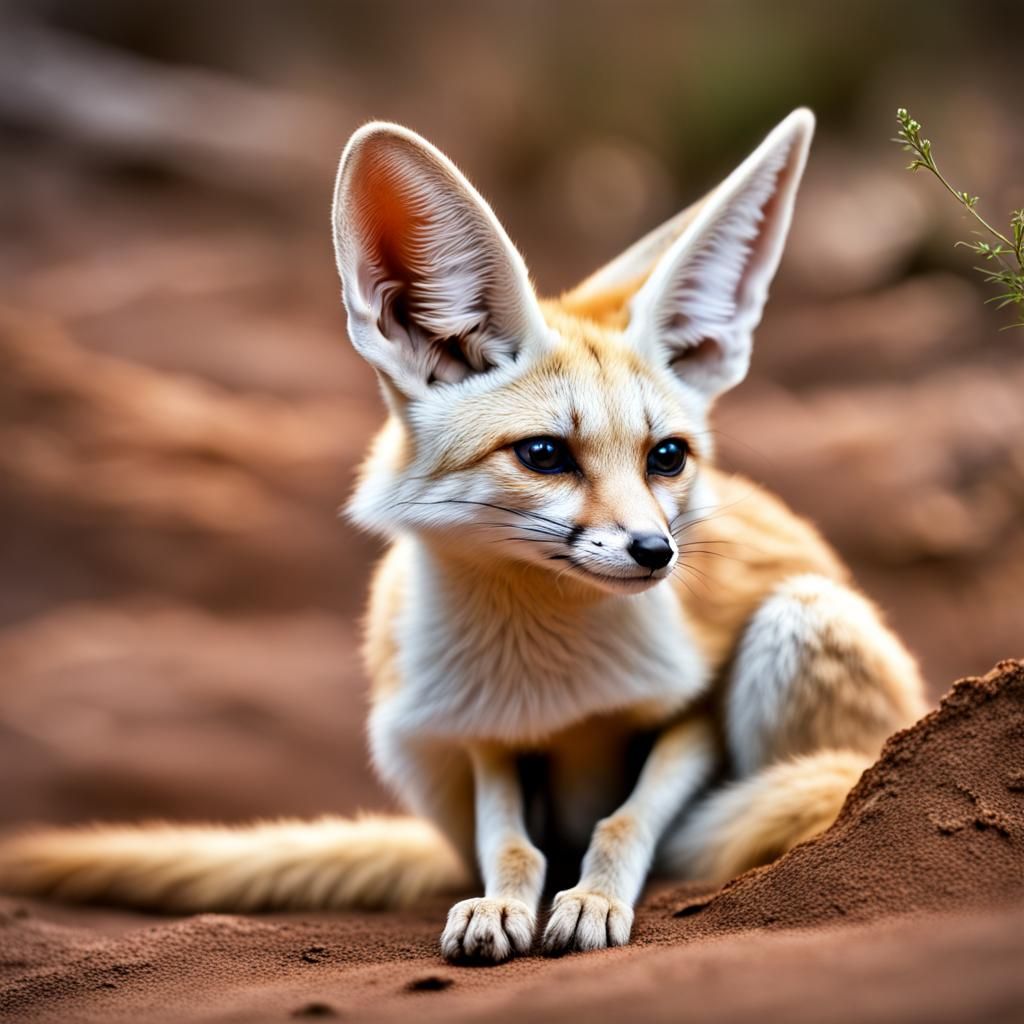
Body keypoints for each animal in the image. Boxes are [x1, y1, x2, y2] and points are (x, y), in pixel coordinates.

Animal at [0, 109, 926, 962]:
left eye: (666, 456)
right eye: (545, 454)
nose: (655, 553)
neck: (550, 669)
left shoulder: (690, 713)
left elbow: (626, 822)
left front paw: (594, 899)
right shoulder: (478, 729)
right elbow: (510, 844)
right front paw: (502, 908)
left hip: (804, 616)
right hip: (407, 737)